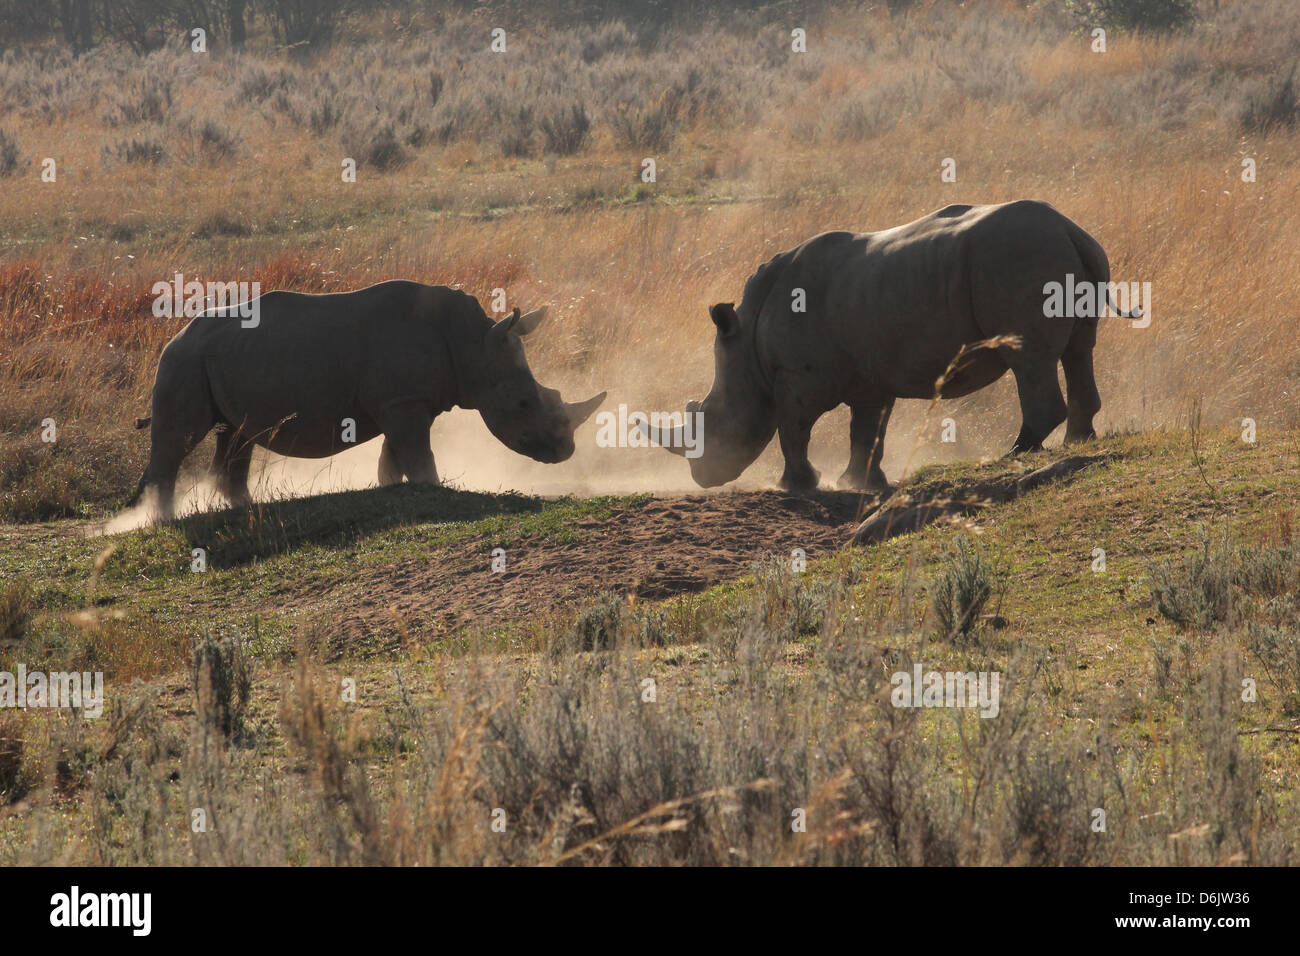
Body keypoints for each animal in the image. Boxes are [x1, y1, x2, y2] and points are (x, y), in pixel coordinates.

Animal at [129, 280, 605, 518]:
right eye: (523, 404)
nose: (564, 451)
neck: (473, 343)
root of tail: (173, 336)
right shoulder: (403, 402)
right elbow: (418, 453)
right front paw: (432, 488)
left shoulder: (404, 401)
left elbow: (395, 455)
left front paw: (394, 489)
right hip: (182, 362)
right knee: (180, 439)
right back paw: (161, 518)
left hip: (214, 360)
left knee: (236, 435)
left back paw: (244, 508)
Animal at [642, 200, 1109, 491]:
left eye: (710, 418)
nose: (701, 477)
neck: (748, 352)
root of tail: (1069, 229)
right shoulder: (870, 374)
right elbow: (867, 430)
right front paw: (859, 483)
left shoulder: (798, 377)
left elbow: (794, 428)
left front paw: (797, 485)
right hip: (1059, 255)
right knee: (1079, 349)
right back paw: (1078, 442)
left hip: (1016, 257)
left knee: (1029, 360)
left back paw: (1014, 452)